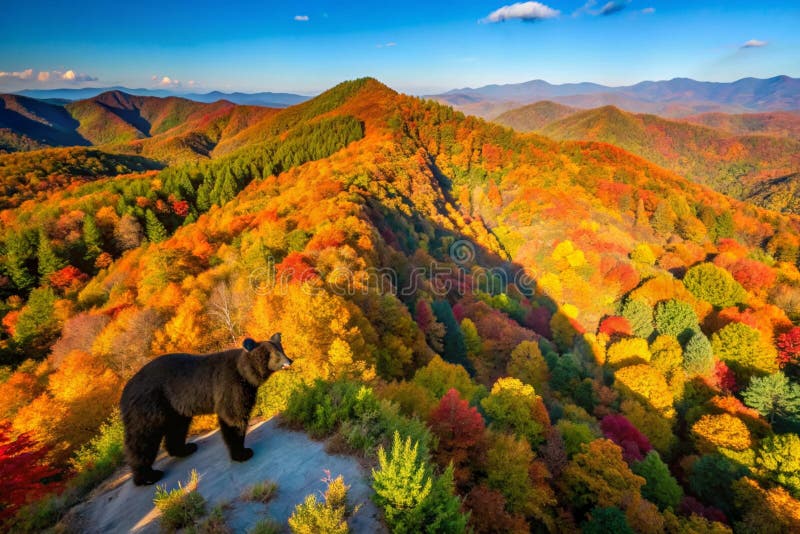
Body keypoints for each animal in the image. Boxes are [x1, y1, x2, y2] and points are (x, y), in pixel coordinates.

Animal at [120, 333, 292, 486]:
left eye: (282, 349)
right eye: (275, 354)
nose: (290, 361)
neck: (245, 373)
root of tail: (125, 392)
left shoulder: (247, 388)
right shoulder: (230, 385)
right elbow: (233, 417)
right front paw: (242, 453)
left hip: (173, 407)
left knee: (177, 428)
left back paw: (185, 449)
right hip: (149, 406)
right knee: (142, 438)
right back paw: (148, 476)